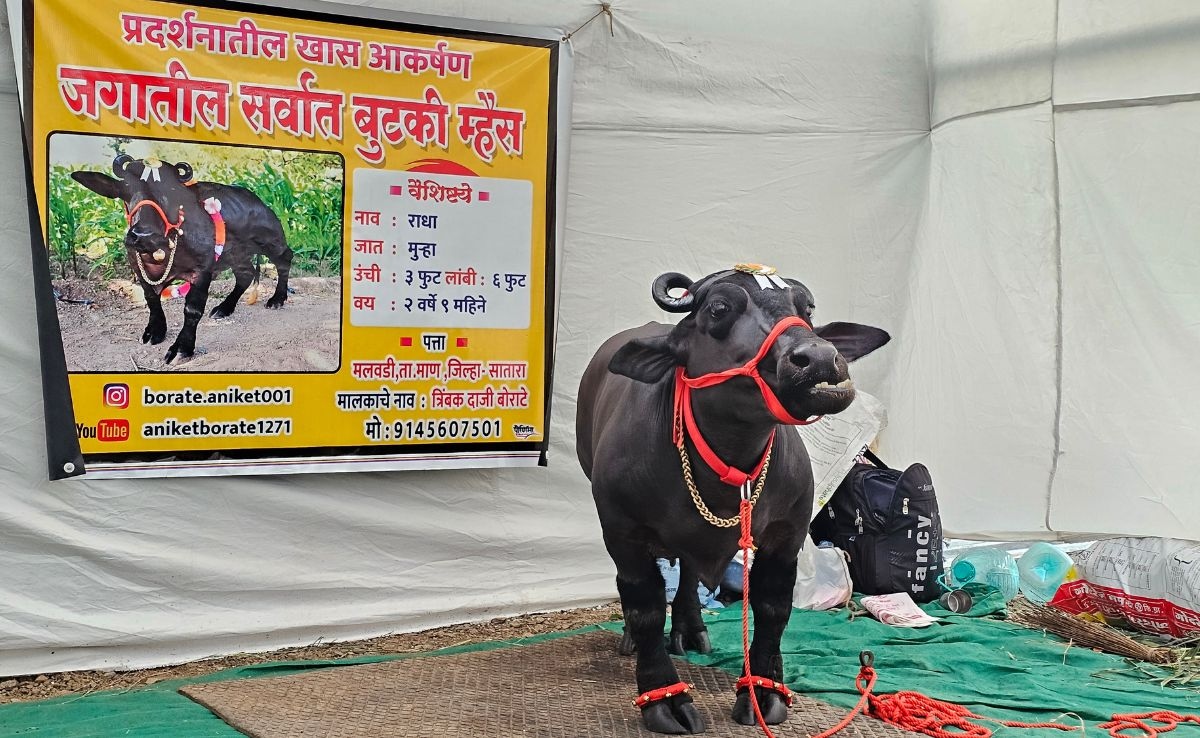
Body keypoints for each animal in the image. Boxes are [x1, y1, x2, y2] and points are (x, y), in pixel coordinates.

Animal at [71, 155, 294, 364]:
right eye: (125, 189)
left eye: (171, 191)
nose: (144, 235)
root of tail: (256, 200)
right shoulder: (138, 270)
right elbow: (152, 300)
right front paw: (154, 330)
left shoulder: (202, 271)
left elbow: (192, 310)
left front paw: (181, 348)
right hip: (236, 254)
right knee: (245, 274)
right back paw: (224, 308)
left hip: (271, 240)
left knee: (285, 259)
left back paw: (277, 299)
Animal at [576, 266, 889, 734]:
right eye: (719, 308)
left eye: (807, 308)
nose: (820, 359)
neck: (726, 466)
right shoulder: (621, 531)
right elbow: (644, 605)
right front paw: (663, 698)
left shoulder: (787, 534)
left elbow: (773, 607)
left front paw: (764, 689)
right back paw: (635, 639)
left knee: (689, 573)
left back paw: (691, 629)